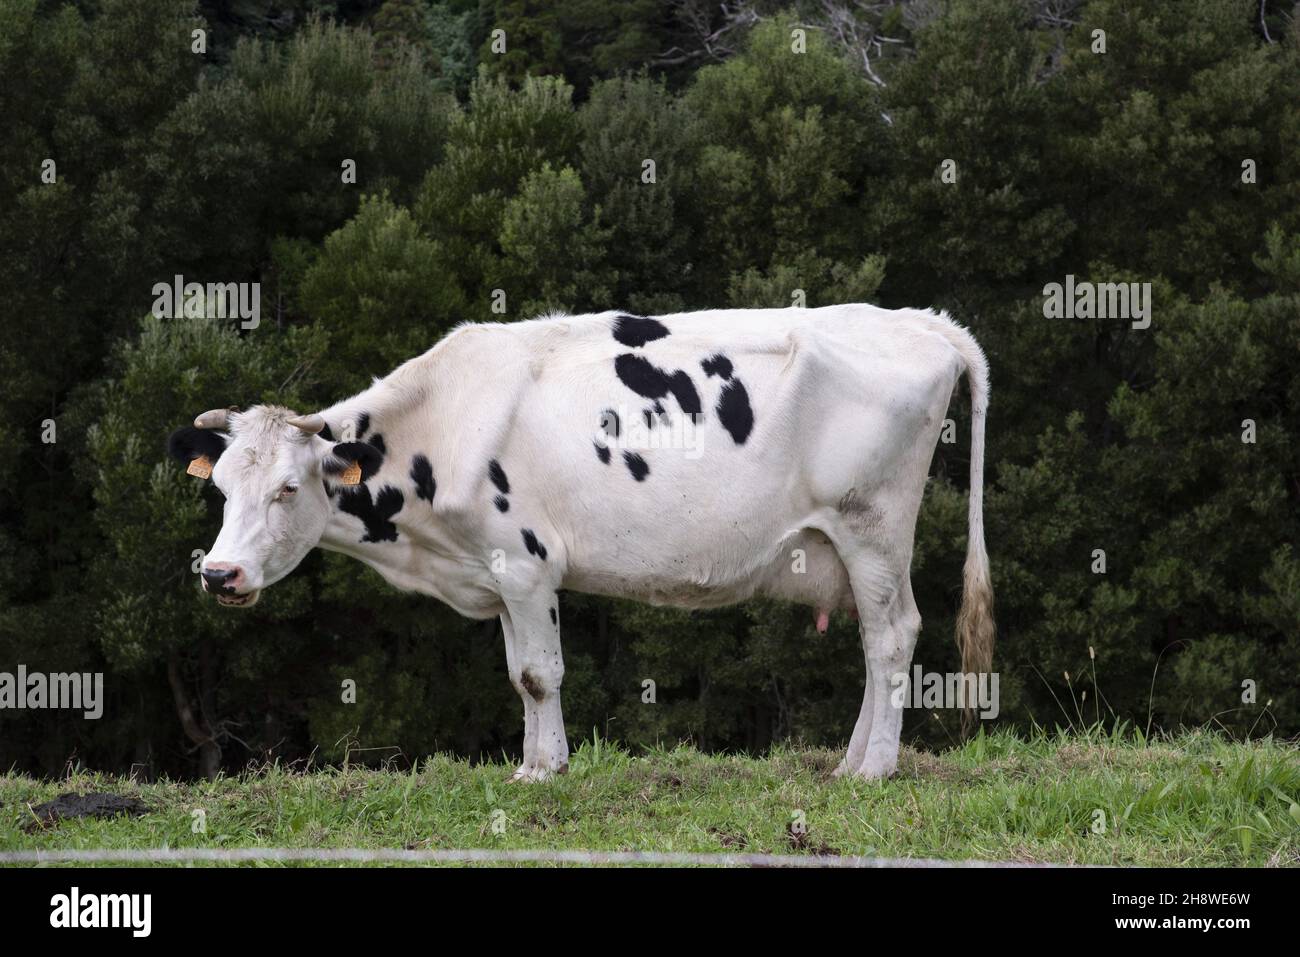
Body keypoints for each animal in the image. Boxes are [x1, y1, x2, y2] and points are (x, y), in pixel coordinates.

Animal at [167, 305, 994, 781]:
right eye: (223, 488)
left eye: (288, 488)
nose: (220, 573)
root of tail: (924, 320)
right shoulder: (497, 570)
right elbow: (517, 673)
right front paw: (536, 762)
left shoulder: (527, 562)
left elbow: (540, 673)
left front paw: (544, 771)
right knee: (875, 641)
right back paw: (852, 759)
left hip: (872, 526)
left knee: (892, 635)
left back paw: (873, 769)